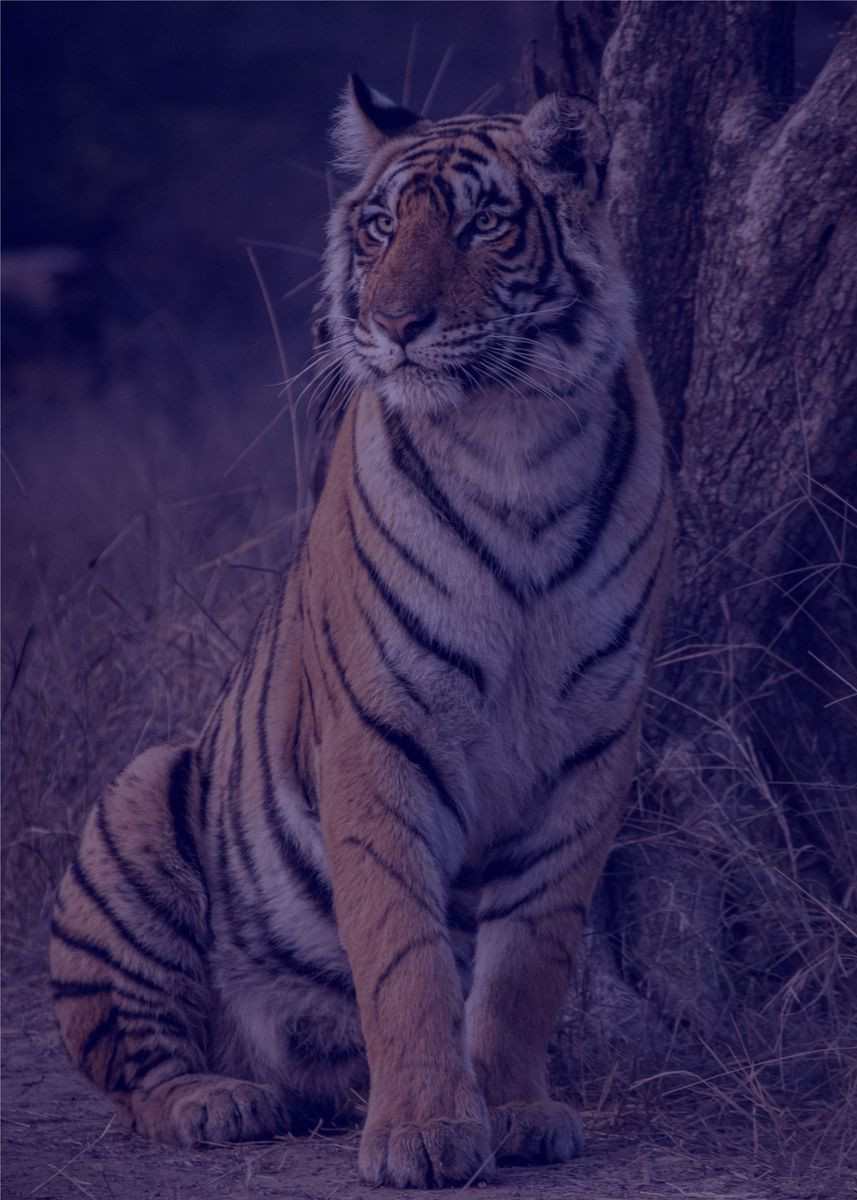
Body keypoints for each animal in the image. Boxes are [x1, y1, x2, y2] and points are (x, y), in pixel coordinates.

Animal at [50, 75, 671, 1189]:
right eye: (379, 229)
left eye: (480, 225)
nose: (394, 322)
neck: (515, 440)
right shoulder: (381, 731)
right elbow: (400, 951)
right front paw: (425, 1132)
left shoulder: (590, 744)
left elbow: (530, 957)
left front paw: (514, 1109)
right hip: (136, 807)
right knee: (132, 1075)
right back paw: (219, 1100)